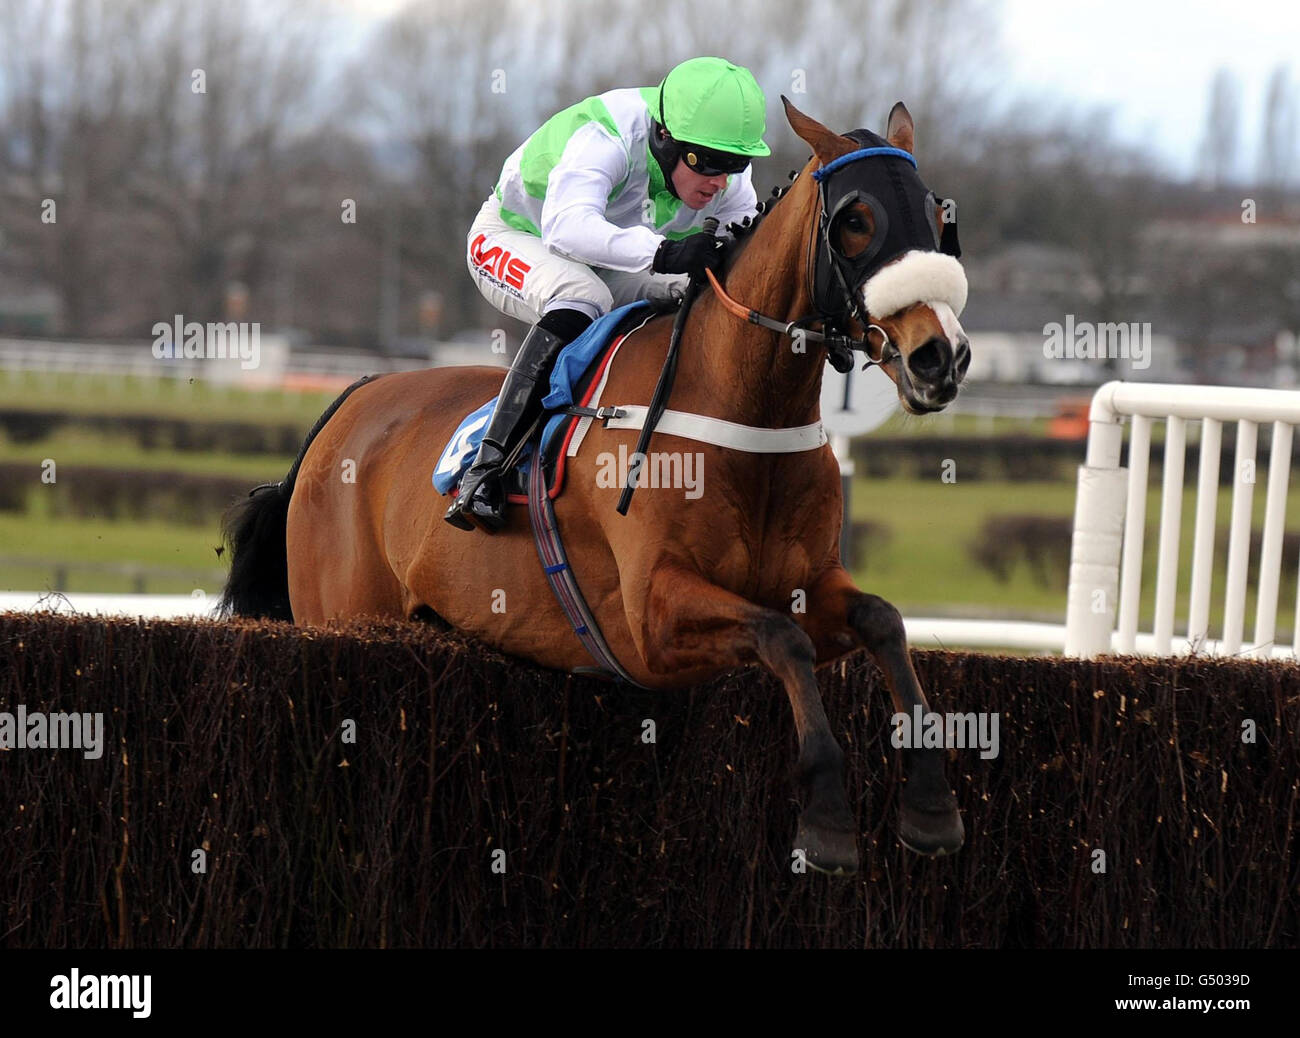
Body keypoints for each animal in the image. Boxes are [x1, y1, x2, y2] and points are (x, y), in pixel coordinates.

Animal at [219, 97, 971, 876]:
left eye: (937, 215)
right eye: (856, 221)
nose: (940, 357)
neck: (740, 406)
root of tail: (352, 397)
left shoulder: (808, 581)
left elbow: (882, 620)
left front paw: (932, 808)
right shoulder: (651, 617)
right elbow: (781, 638)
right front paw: (825, 818)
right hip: (341, 613)